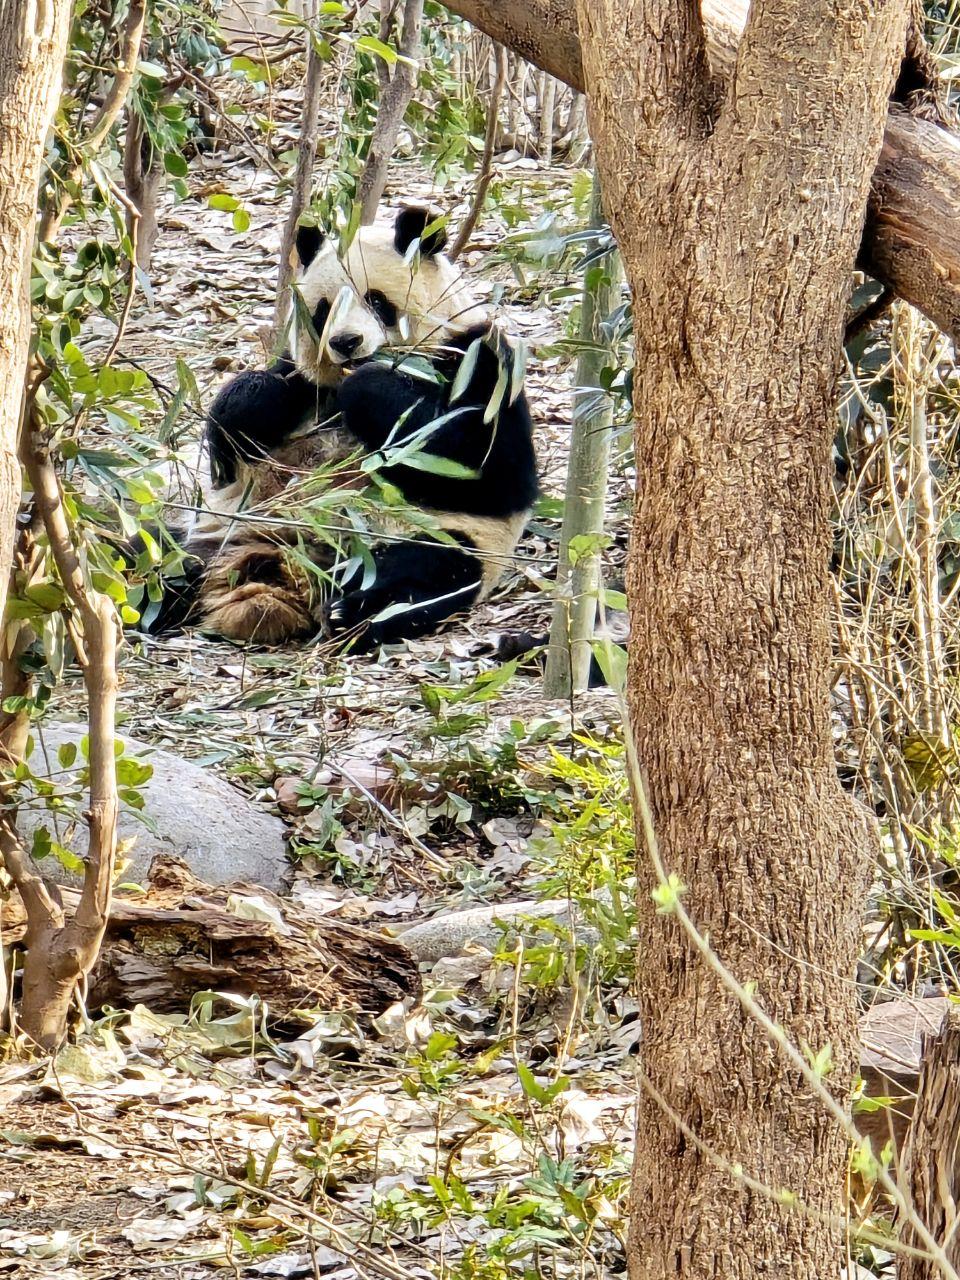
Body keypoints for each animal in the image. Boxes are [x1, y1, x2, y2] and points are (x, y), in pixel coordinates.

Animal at [149, 208, 542, 650]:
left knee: (428, 572)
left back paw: (351, 610)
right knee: (149, 551)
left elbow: (487, 464)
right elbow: (237, 434)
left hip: (435, 538)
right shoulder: (302, 382)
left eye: (376, 300)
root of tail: (287, 566)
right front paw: (256, 398)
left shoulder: (479, 360)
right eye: (324, 308)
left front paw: (367, 387)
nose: (346, 342)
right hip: (211, 527)